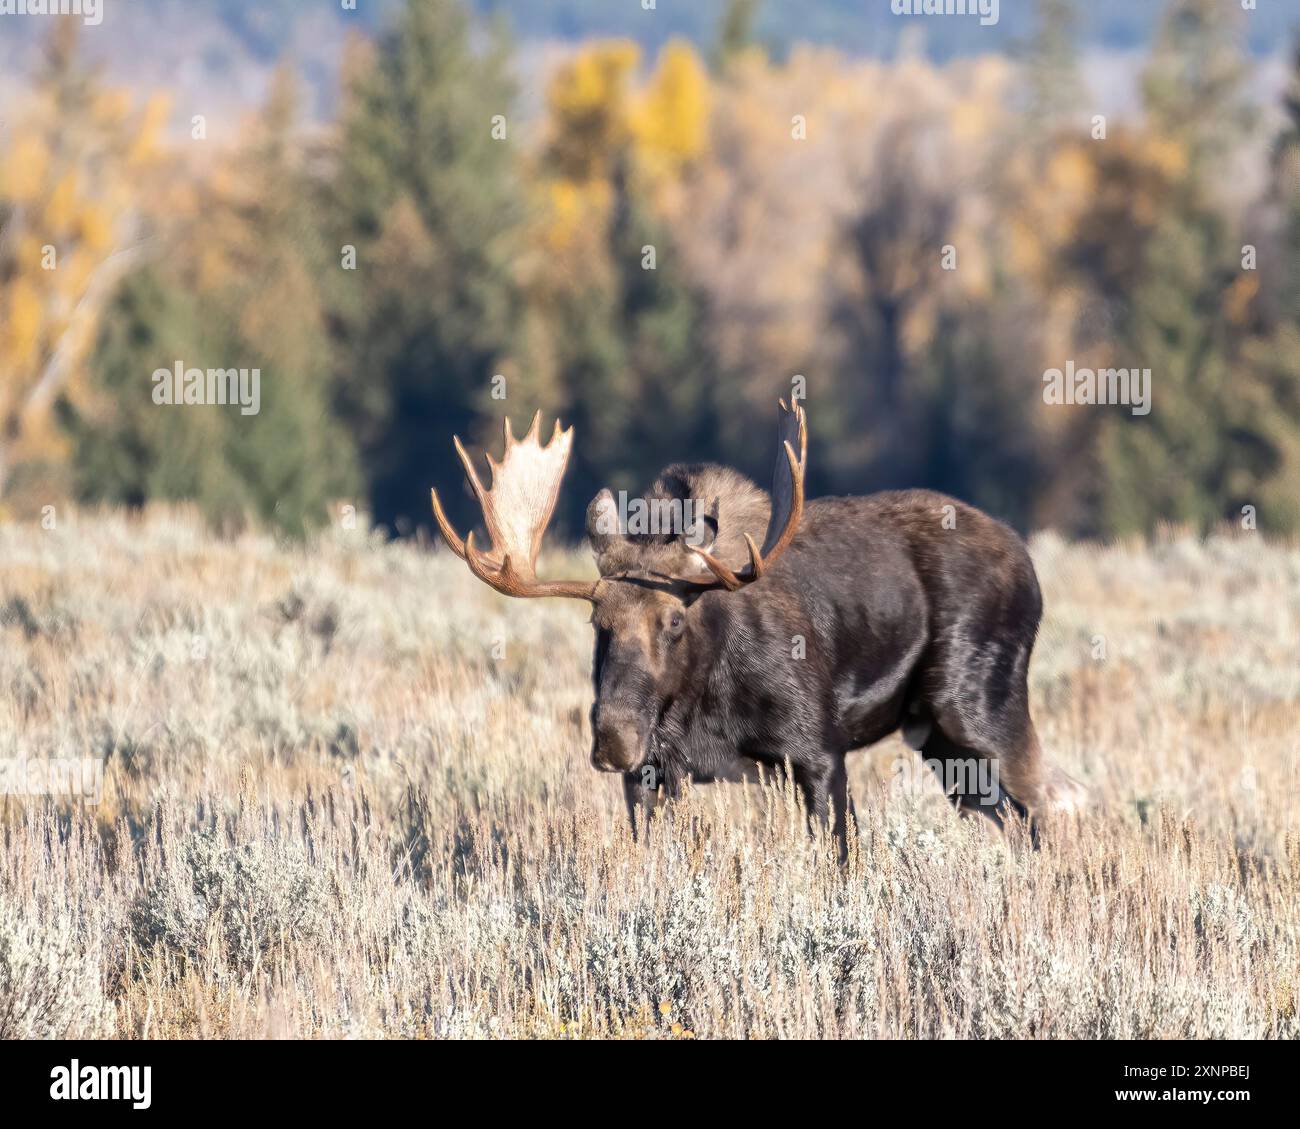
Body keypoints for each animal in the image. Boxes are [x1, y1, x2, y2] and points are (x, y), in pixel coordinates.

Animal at [431, 402, 1085, 861]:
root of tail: (1029, 564)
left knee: (1053, 799)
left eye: (674, 620)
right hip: (940, 741)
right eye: (598, 623)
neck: (702, 701)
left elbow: (839, 857)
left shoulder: (818, 751)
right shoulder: (654, 775)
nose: (615, 737)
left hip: (976, 706)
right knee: (1013, 815)